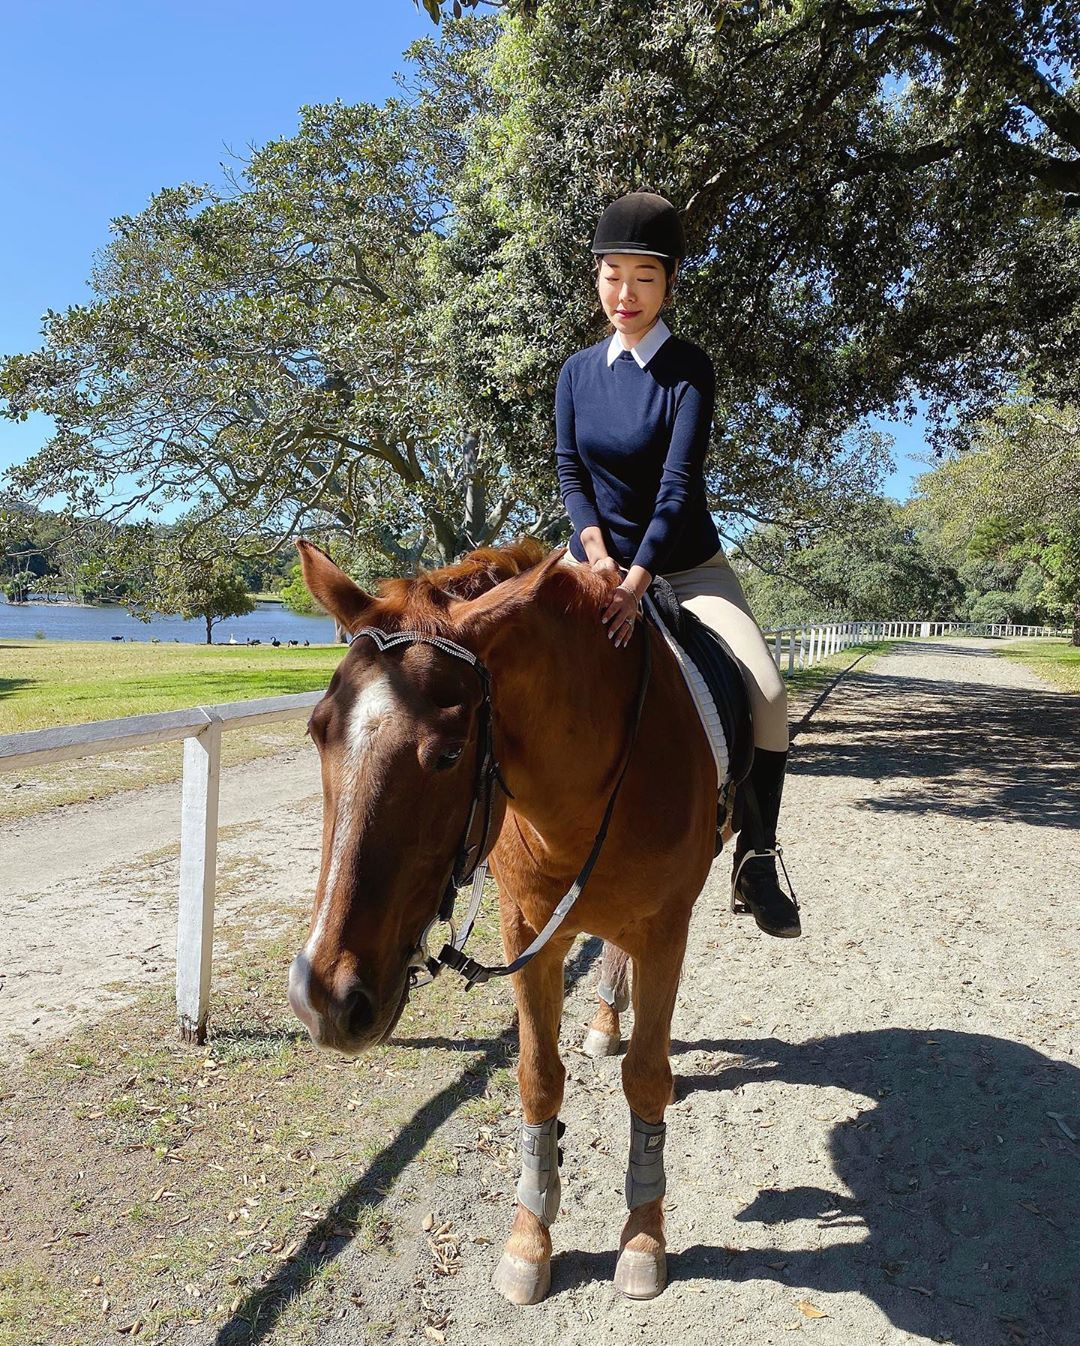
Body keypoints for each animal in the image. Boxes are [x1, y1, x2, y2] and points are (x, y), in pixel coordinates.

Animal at [288, 538, 727, 1304]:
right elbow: (537, 1079)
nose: (325, 999)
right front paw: (529, 1241)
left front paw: (643, 1237)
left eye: (449, 754)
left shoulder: (666, 929)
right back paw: (605, 1019)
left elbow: (647, 1076)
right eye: (318, 732)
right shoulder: (526, 934)